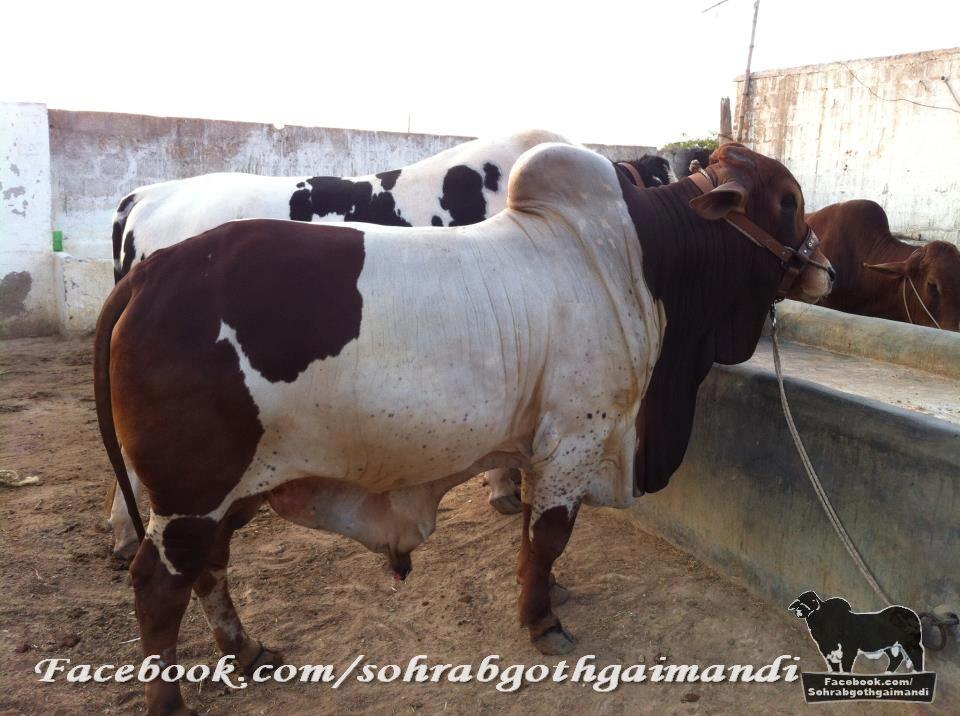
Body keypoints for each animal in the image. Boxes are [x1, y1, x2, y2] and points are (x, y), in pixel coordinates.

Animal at [94, 142, 832, 714]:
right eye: (790, 200)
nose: (824, 267)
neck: (642, 260)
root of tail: (152, 272)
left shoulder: (543, 446)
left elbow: (536, 533)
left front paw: (546, 591)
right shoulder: (575, 438)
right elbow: (551, 534)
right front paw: (542, 620)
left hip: (226, 493)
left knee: (210, 568)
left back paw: (245, 649)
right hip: (193, 493)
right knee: (158, 588)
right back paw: (170, 699)